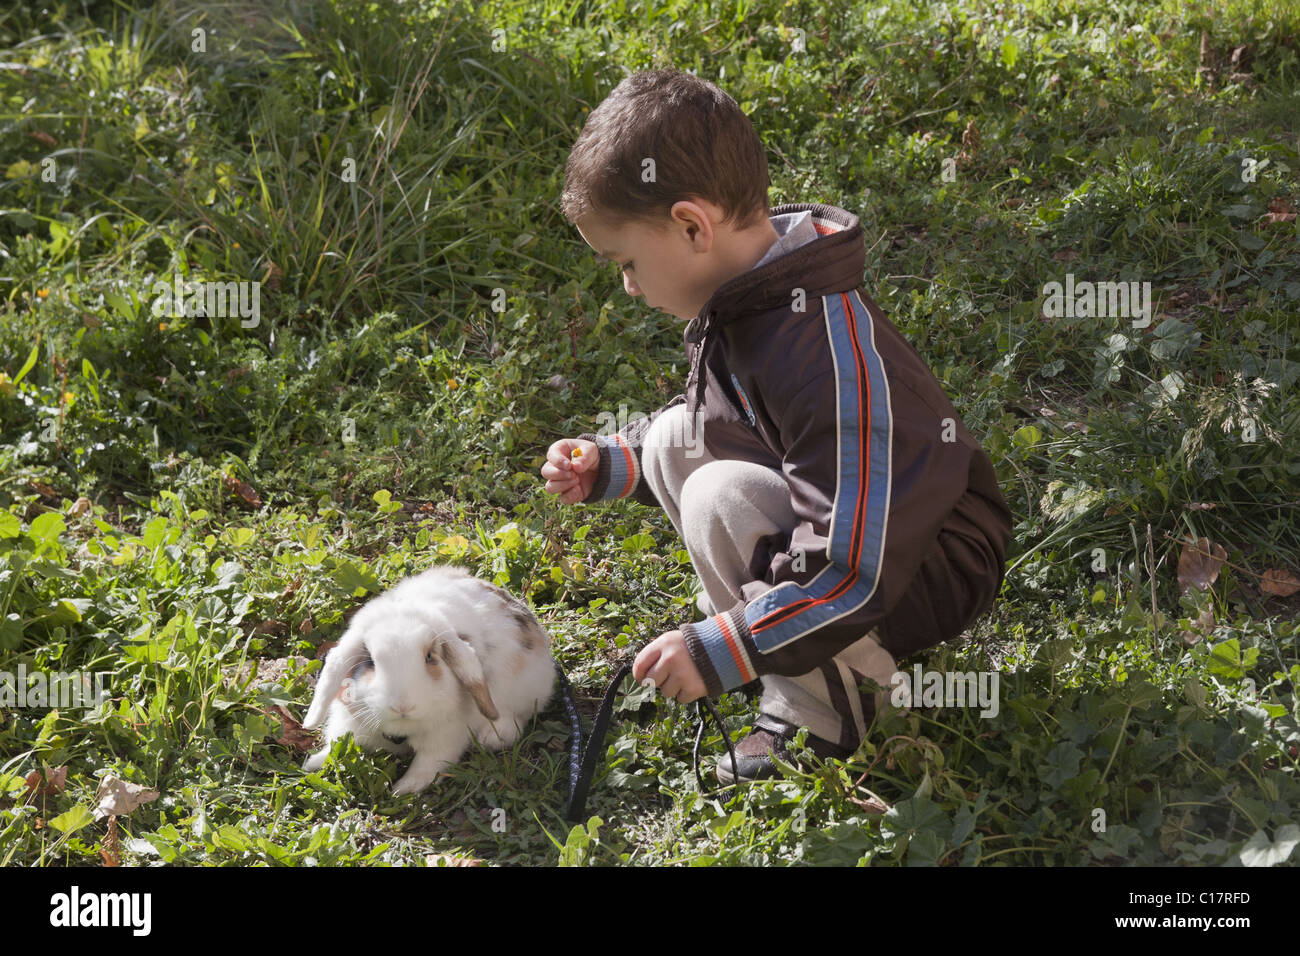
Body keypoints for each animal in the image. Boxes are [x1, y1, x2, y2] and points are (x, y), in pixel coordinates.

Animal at [301, 565, 556, 795]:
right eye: (370, 661)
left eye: (429, 657)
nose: (402, 706)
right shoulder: (348, 724)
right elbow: (336, 743)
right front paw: (312, 763)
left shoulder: (446, 736)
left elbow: (429, 765)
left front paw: (403, 789)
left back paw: (493, 736)